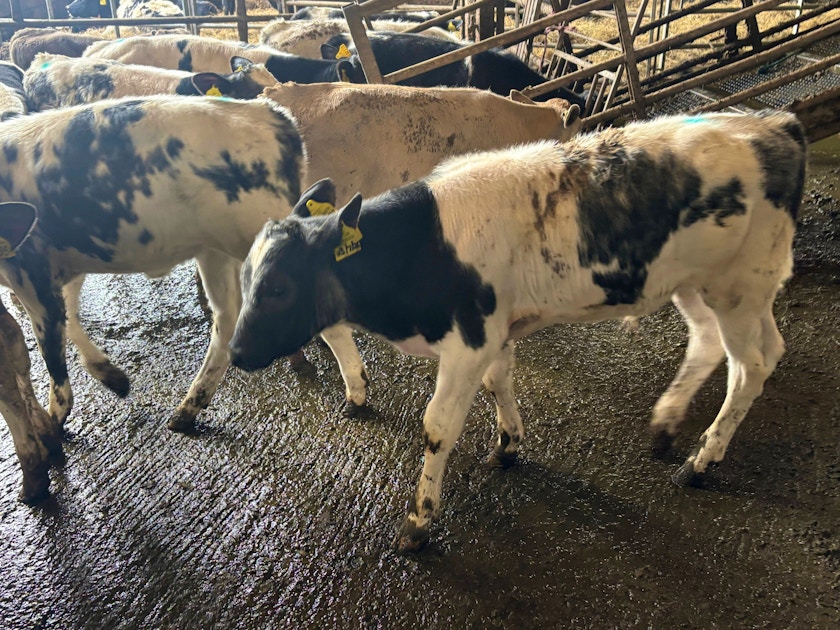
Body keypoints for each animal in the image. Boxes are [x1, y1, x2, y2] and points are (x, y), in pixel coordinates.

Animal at [0, 95, 310, 434]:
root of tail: (267, 110)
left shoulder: (30, 272)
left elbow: (50, 348)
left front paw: (55, 417)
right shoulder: (65, 267)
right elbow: (70, 320)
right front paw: (112, 377)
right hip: (214, 250)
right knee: (228, 317)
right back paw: (187, 410)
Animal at [228, 110, 807, 551]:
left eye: (277, 287)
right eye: (245, 275)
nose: (235, 352)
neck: (423, 248)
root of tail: (768, 123)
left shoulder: (469, 340)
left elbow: (438, 426)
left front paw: (418, 522)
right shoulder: (495, 330)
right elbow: (498, 382)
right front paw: (508, 444)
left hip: (738, 285)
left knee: (749, 366)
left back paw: (701, 461)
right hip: (697, 282)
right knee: (719, 344)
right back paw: (665, 427)